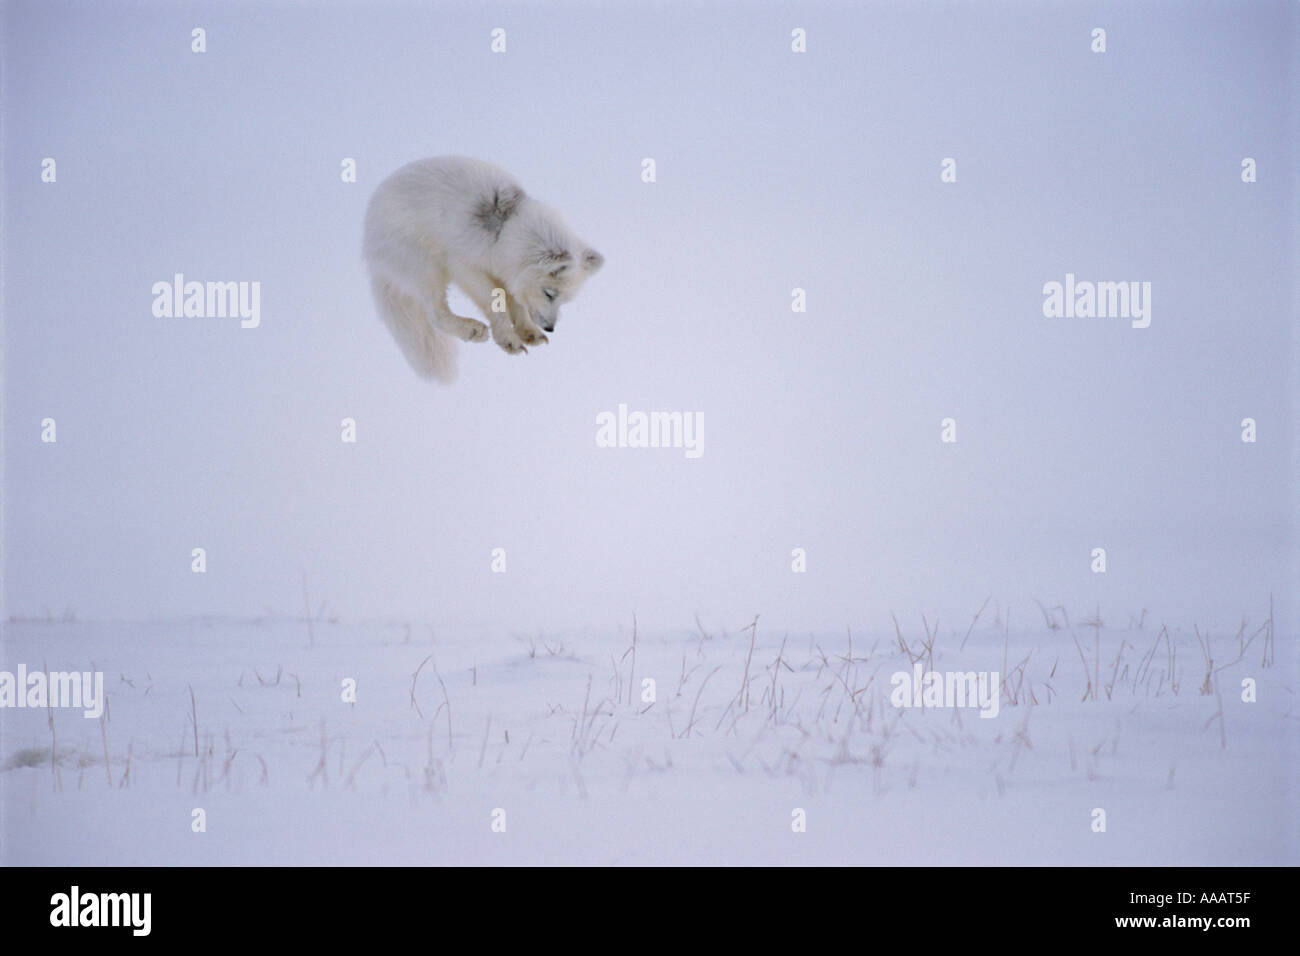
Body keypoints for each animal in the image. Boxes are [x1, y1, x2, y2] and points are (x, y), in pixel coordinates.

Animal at [362, 156, 604, 383]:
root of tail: (369, 245)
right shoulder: (464, 266)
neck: (504, 232)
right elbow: (495, 302)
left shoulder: (509, 274)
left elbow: (517, 304)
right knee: (436, 315)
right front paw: (508, 339)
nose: (551, 328)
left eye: (564, 300)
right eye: (549, 294)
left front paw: (528, 332)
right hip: (427, 268)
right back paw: (472, 330)